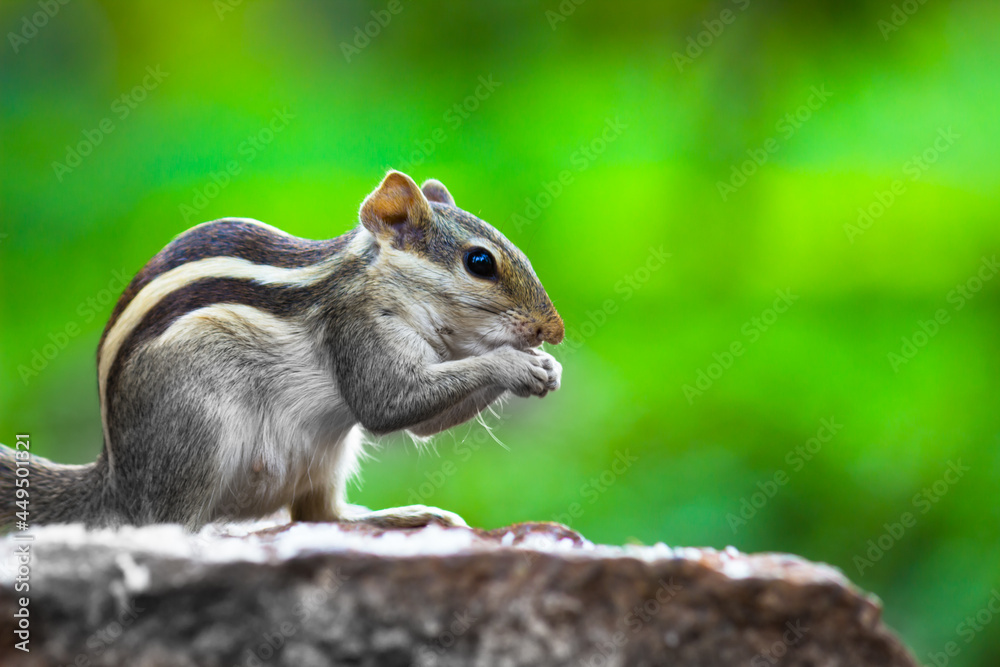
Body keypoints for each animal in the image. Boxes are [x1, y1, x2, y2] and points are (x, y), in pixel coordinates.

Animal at [0, 171, 564, 530]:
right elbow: (387, 402)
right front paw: (516, 364)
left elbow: (421, 422)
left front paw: (548, 368)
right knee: (164, 525)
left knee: (320, 515)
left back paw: (402, 517)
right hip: (196, 433)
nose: (553, 331)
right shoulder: (355, 327)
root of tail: (116, 483)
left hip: (327, 456)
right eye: (479, 263)